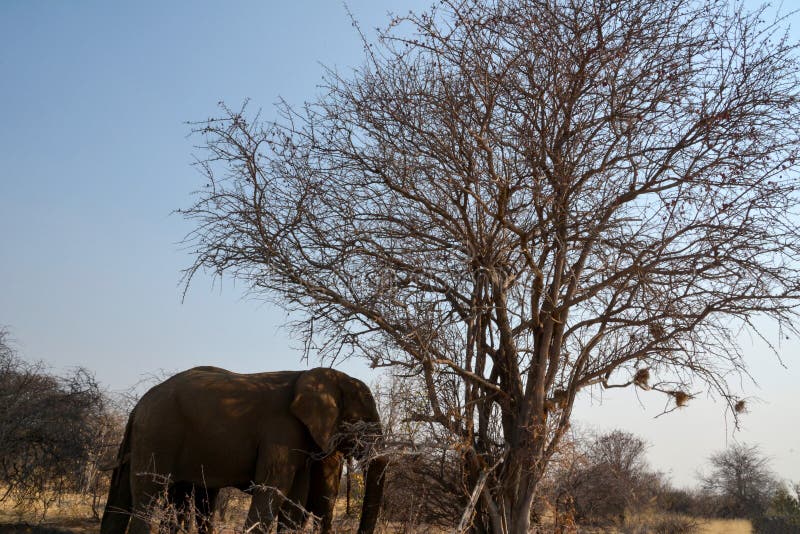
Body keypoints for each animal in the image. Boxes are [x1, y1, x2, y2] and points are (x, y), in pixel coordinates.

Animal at [100, 366, 386, 534]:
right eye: (362, 421)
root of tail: (138, 405)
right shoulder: (281, 429)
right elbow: (272, 487)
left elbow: (294, 496)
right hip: (159, 433)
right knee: (148, 496)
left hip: (147, 436)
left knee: (123, 497)